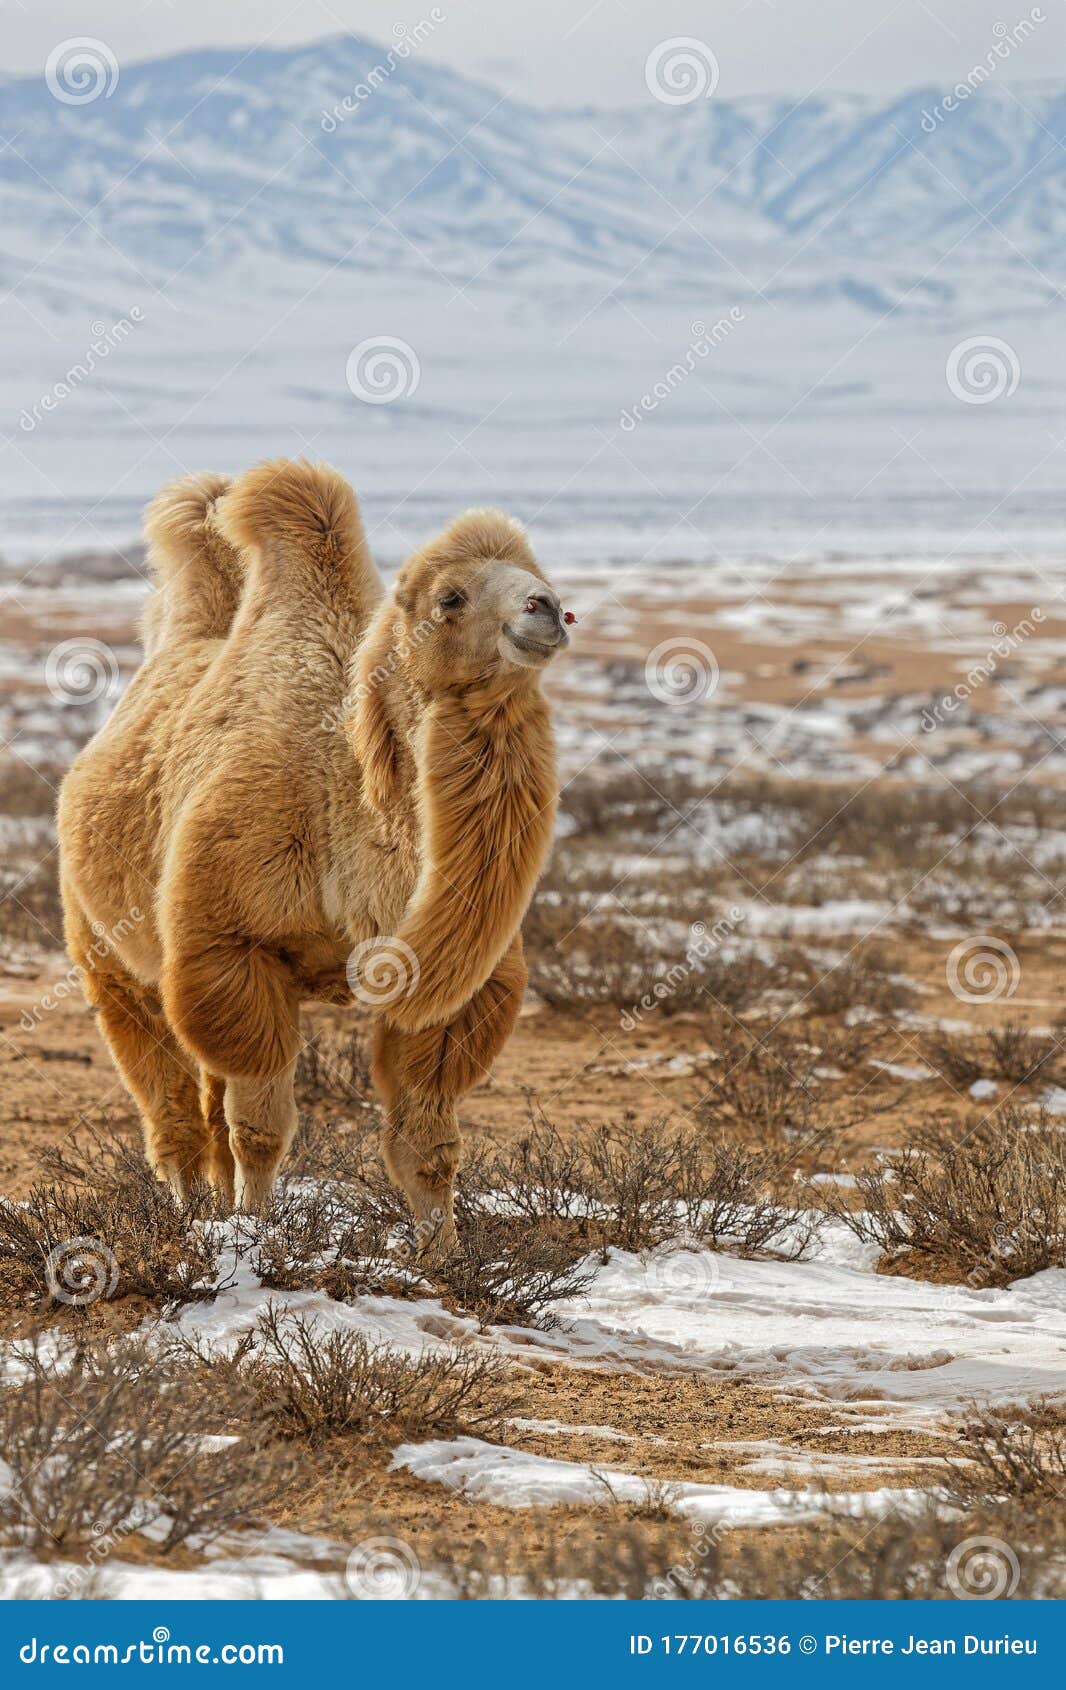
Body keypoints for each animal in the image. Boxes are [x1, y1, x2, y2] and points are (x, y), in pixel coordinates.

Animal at [57, 459, 570, 1256]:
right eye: (452, 597)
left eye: (538, 572)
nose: (546, 609)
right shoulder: (231, 949)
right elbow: (261, 1129)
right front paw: (255, 1238)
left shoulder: (450, 991)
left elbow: (427, 1142)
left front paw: (444, 1256)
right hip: (105, 948)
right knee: (165, 1089)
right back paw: (184, 1217)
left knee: (204, 1098)